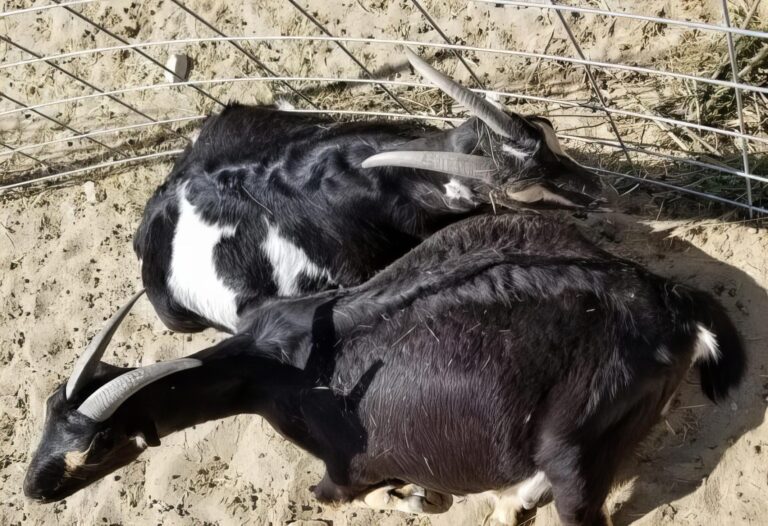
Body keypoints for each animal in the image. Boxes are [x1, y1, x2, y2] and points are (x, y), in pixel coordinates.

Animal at [26, 213, 744, 525]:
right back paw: (509, 503)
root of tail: (669, 303)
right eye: (46, 419)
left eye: (95, 446)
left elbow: (335, 495)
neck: (271, 368)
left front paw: (418, 497)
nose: (33, 489)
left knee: (578, 503)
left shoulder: (345, 464)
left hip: (583, 432)